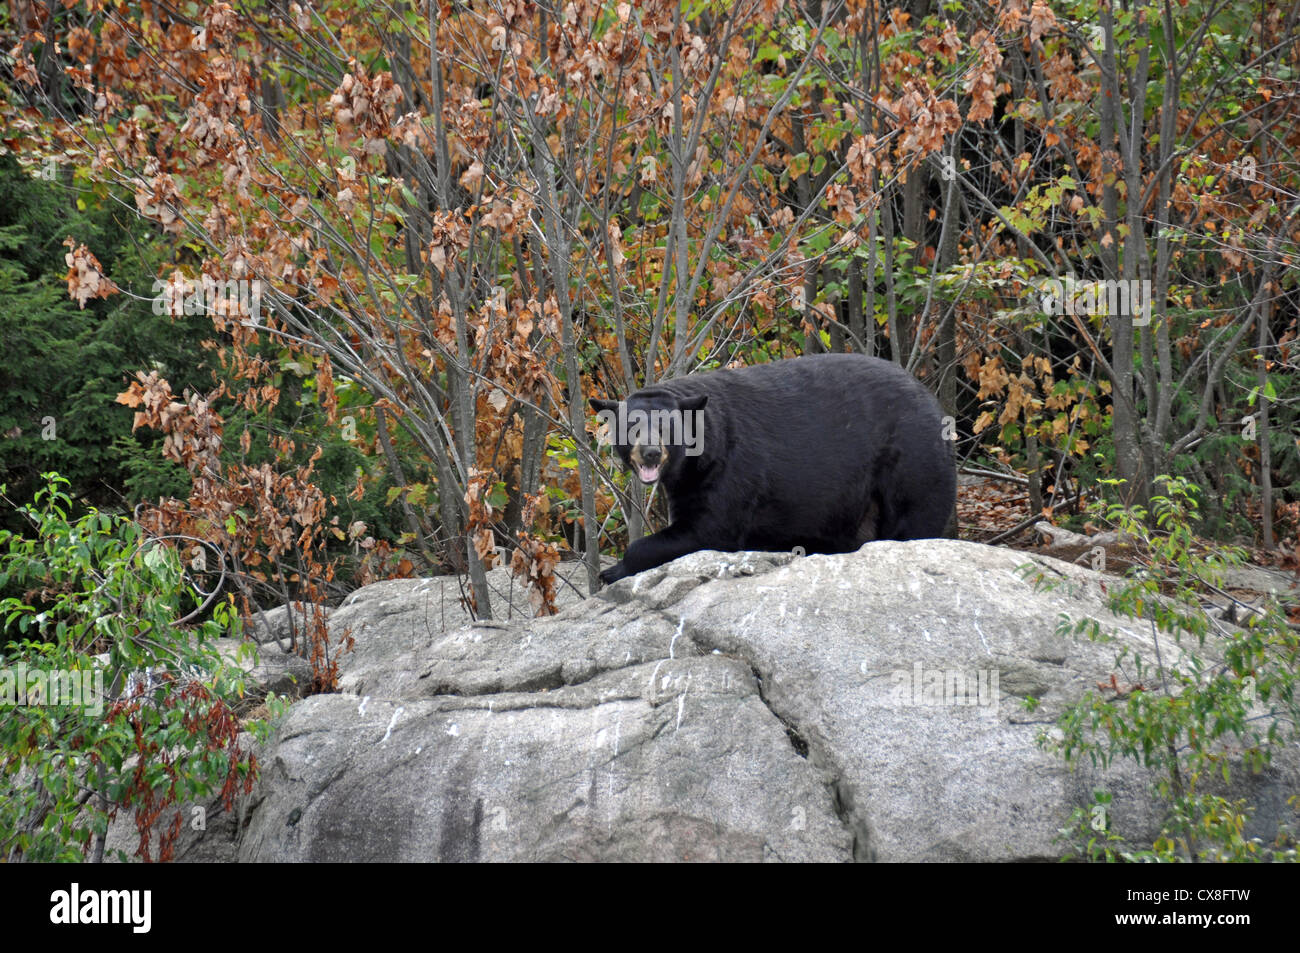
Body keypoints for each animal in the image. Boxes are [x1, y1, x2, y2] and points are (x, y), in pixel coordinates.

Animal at [589, 353, 957, 586]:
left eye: (667, 428)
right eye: (633, 426)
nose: (651, 453)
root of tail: (932, 400)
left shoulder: (730, 471)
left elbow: (709, 529)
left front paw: (613, 570)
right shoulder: (687, 482)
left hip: (913, 457)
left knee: (915, 517)